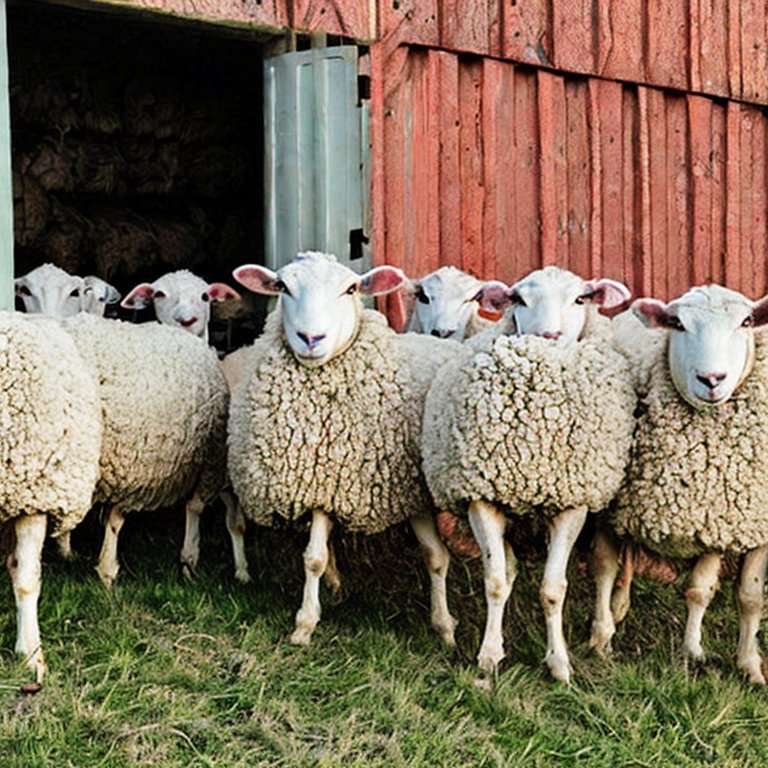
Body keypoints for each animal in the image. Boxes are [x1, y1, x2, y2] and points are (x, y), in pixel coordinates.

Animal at [228, 251, 461, 647]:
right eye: (282, 286)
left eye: (351, 289)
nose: (311, 338)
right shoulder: (321, 485)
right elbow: (316, 555)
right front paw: (310, 616)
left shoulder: (365, 484)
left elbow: (433, 556)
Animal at [421, 266, 635, 682]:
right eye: (518, 300)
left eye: (581, 298)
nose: (548, 335)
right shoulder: (482, 497)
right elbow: (495, 581)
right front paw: (489, 656)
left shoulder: (573, 503)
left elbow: (553, 589)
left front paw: (559, 664)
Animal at [609, 284, 768, 683]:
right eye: (677, 324)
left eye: (746, 321)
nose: (711, 378)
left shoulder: (739, 519)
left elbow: (735, 595)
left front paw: (746, 665)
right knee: (623, 566)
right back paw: (617, 609)